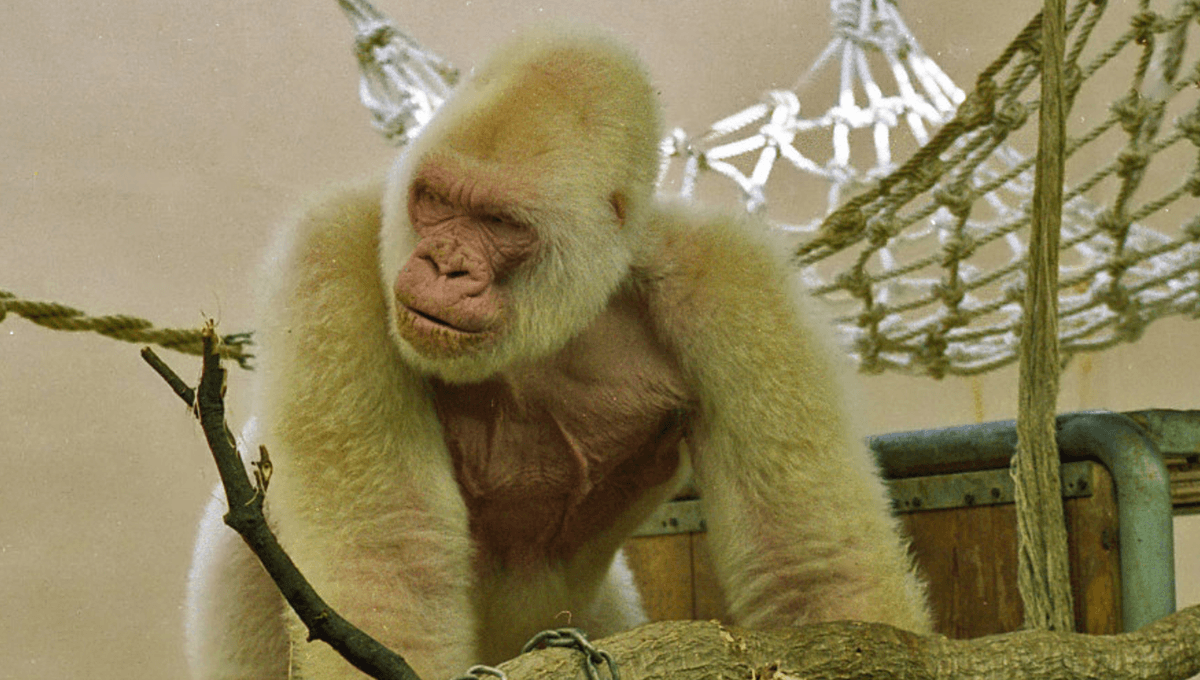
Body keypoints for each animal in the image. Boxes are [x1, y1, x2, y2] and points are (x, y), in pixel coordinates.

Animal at [183, 27, 930, 680]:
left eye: (498, 222)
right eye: (436, 200)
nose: (444, 265)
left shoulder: (735, 283)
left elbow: (815, 569)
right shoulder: (329, 253)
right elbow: (383, 565)